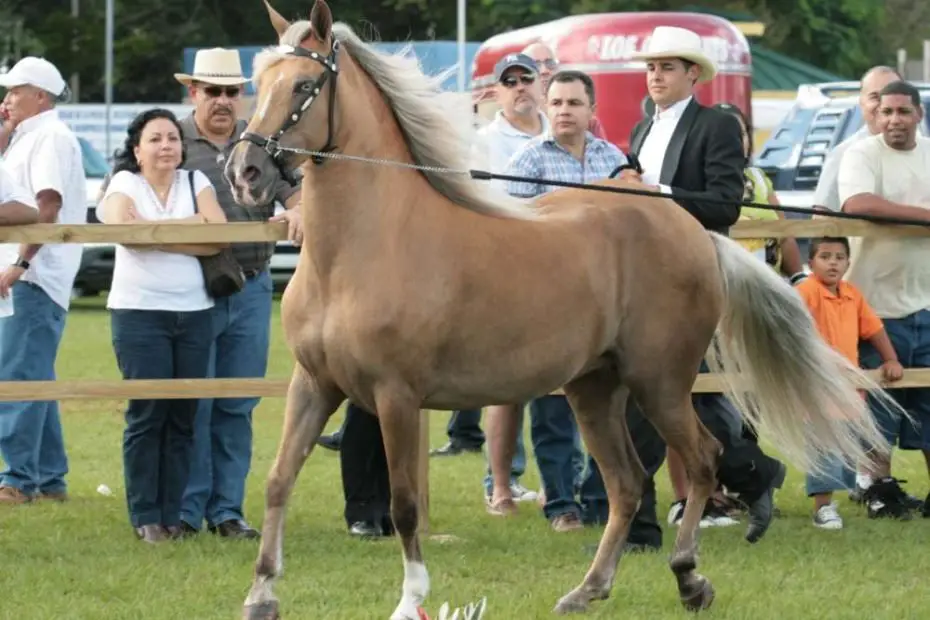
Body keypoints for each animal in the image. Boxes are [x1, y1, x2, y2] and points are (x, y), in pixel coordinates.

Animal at [225, 1, 893, 618]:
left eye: (304, 86)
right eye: (260, 80)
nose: (245, 171)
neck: (359, 251)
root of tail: (695, 232)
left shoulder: (396, 397)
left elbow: (405, 503)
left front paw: (410, 600)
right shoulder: (315, 384)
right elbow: (279, 480)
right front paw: (260, 596)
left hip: (660, 382)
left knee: (701, 460)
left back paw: (688, 577)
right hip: (594, 389)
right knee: (627, 483)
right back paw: (588, 589)